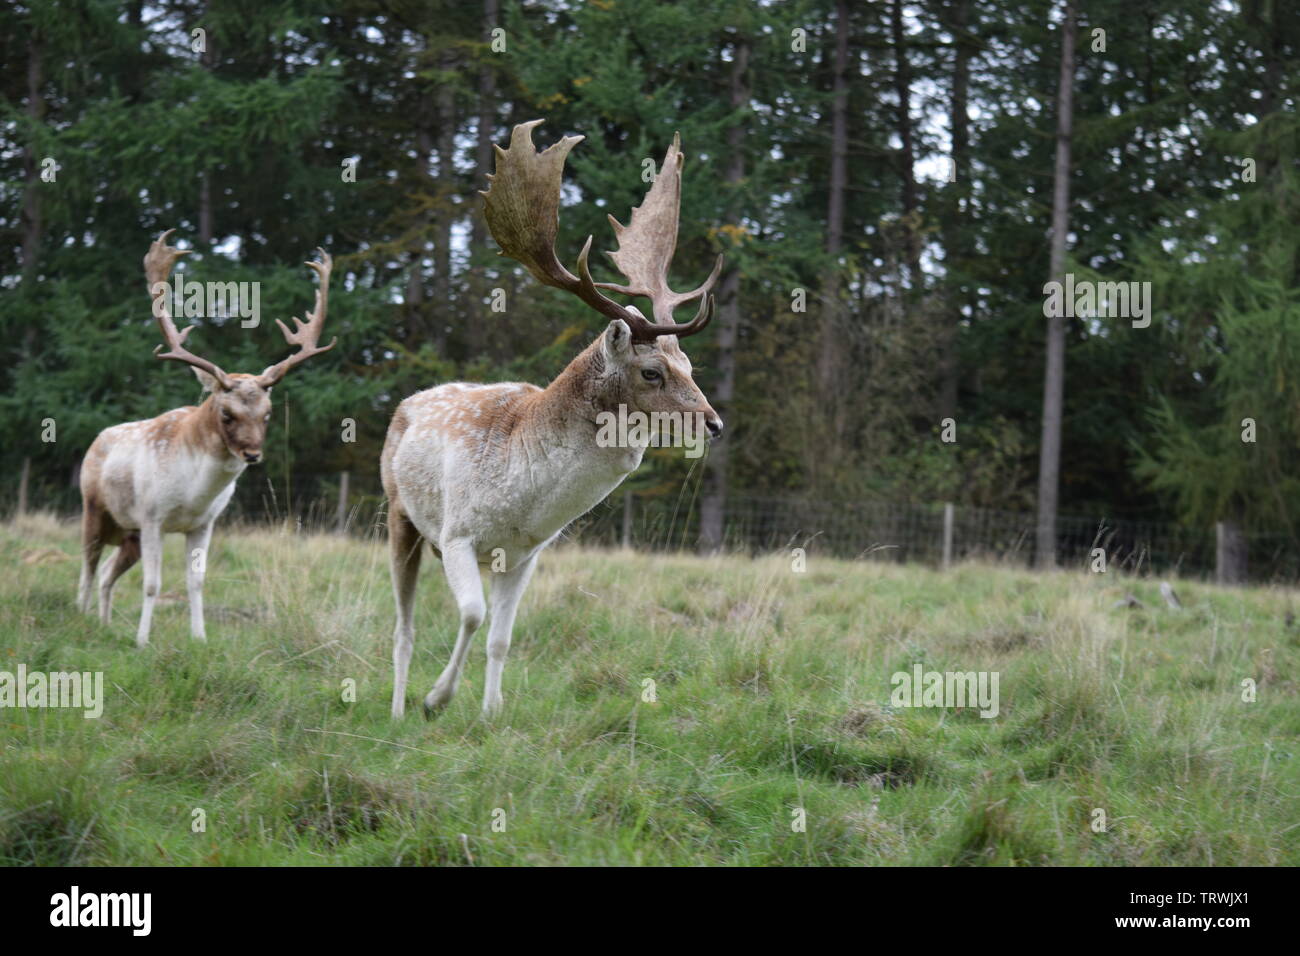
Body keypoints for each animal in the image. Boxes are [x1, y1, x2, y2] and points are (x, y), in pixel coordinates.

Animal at [77, 230, 336, 647]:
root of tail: (95, 442)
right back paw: (81, 618)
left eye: (268, 414)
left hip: (128, 534)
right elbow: (152, 584)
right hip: (94, 509)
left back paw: (103, 624)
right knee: (87, 567)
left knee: (105, 573)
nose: (252, 453)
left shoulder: (204, 523)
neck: (192, 491)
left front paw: (199, 638)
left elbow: (196, 582)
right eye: (226, 413)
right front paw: (143, 642)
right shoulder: (151, 516)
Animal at [383, 120, 725, 719]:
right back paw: (400, 710)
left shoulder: (527, 555)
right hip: (399, 515)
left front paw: (491, 714)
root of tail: (407, 403)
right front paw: (437, 698)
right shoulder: (456, 534)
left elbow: (501, 636)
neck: (522, 499)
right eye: (653, 372)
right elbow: (471, 615)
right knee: (403, 627)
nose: (714, 424)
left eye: (690, 364)